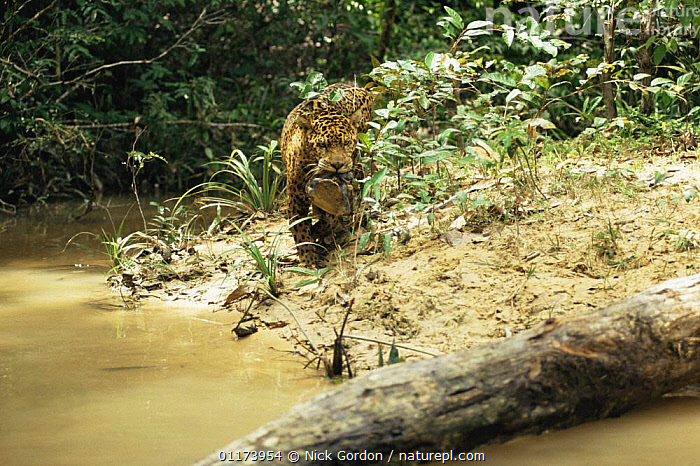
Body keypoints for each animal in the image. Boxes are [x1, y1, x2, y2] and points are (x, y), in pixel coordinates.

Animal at [281, 83, 374, 265]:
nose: (337, 165)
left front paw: (317, 232)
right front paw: (308, 260)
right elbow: (300, 230)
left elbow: (329, 218)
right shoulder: (295, 200)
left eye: (346, 143)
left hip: (358, 162)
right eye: (322, 145)